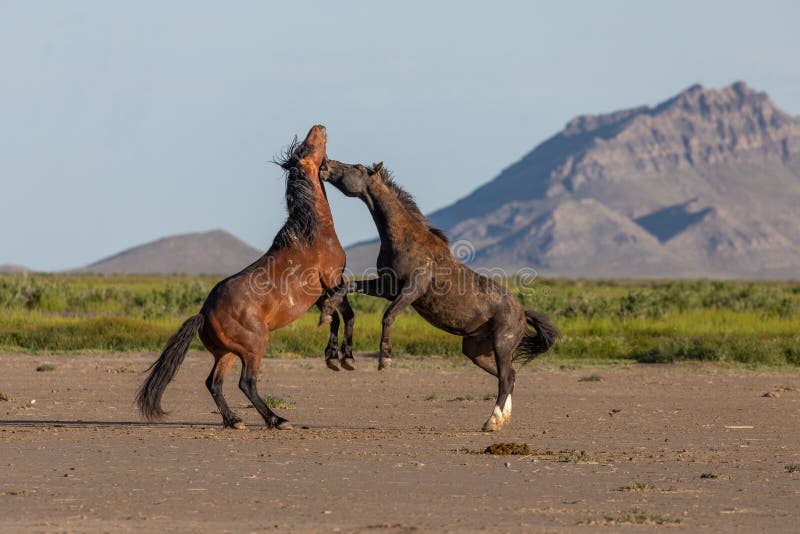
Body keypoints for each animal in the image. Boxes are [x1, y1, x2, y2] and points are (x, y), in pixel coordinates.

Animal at [136, 125, 355, 431]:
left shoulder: (321, 294)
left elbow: (334, 317)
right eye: (306, 147)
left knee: (213, 383)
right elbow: (346, 313)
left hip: (227, 353)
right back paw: (277, 419)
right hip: (254, 346)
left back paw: (234, 420)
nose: (319, 127)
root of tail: (203, 313)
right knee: (246, 383)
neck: (313, 232)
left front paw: (333, 356)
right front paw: (346, 358)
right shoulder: (333, 279)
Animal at [319, 159, 558, 431]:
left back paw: (492, 421)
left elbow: (388, 316)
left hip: (501, 344)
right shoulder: (386, 286)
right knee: (511, 375)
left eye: (356, 167)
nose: (326, 164)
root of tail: (522, 313)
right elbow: (346, 287)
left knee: (506, 378)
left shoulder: (412, 288)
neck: (403, 237)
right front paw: (326, 315)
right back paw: (500, 419)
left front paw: (385, 359)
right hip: (476, 350)